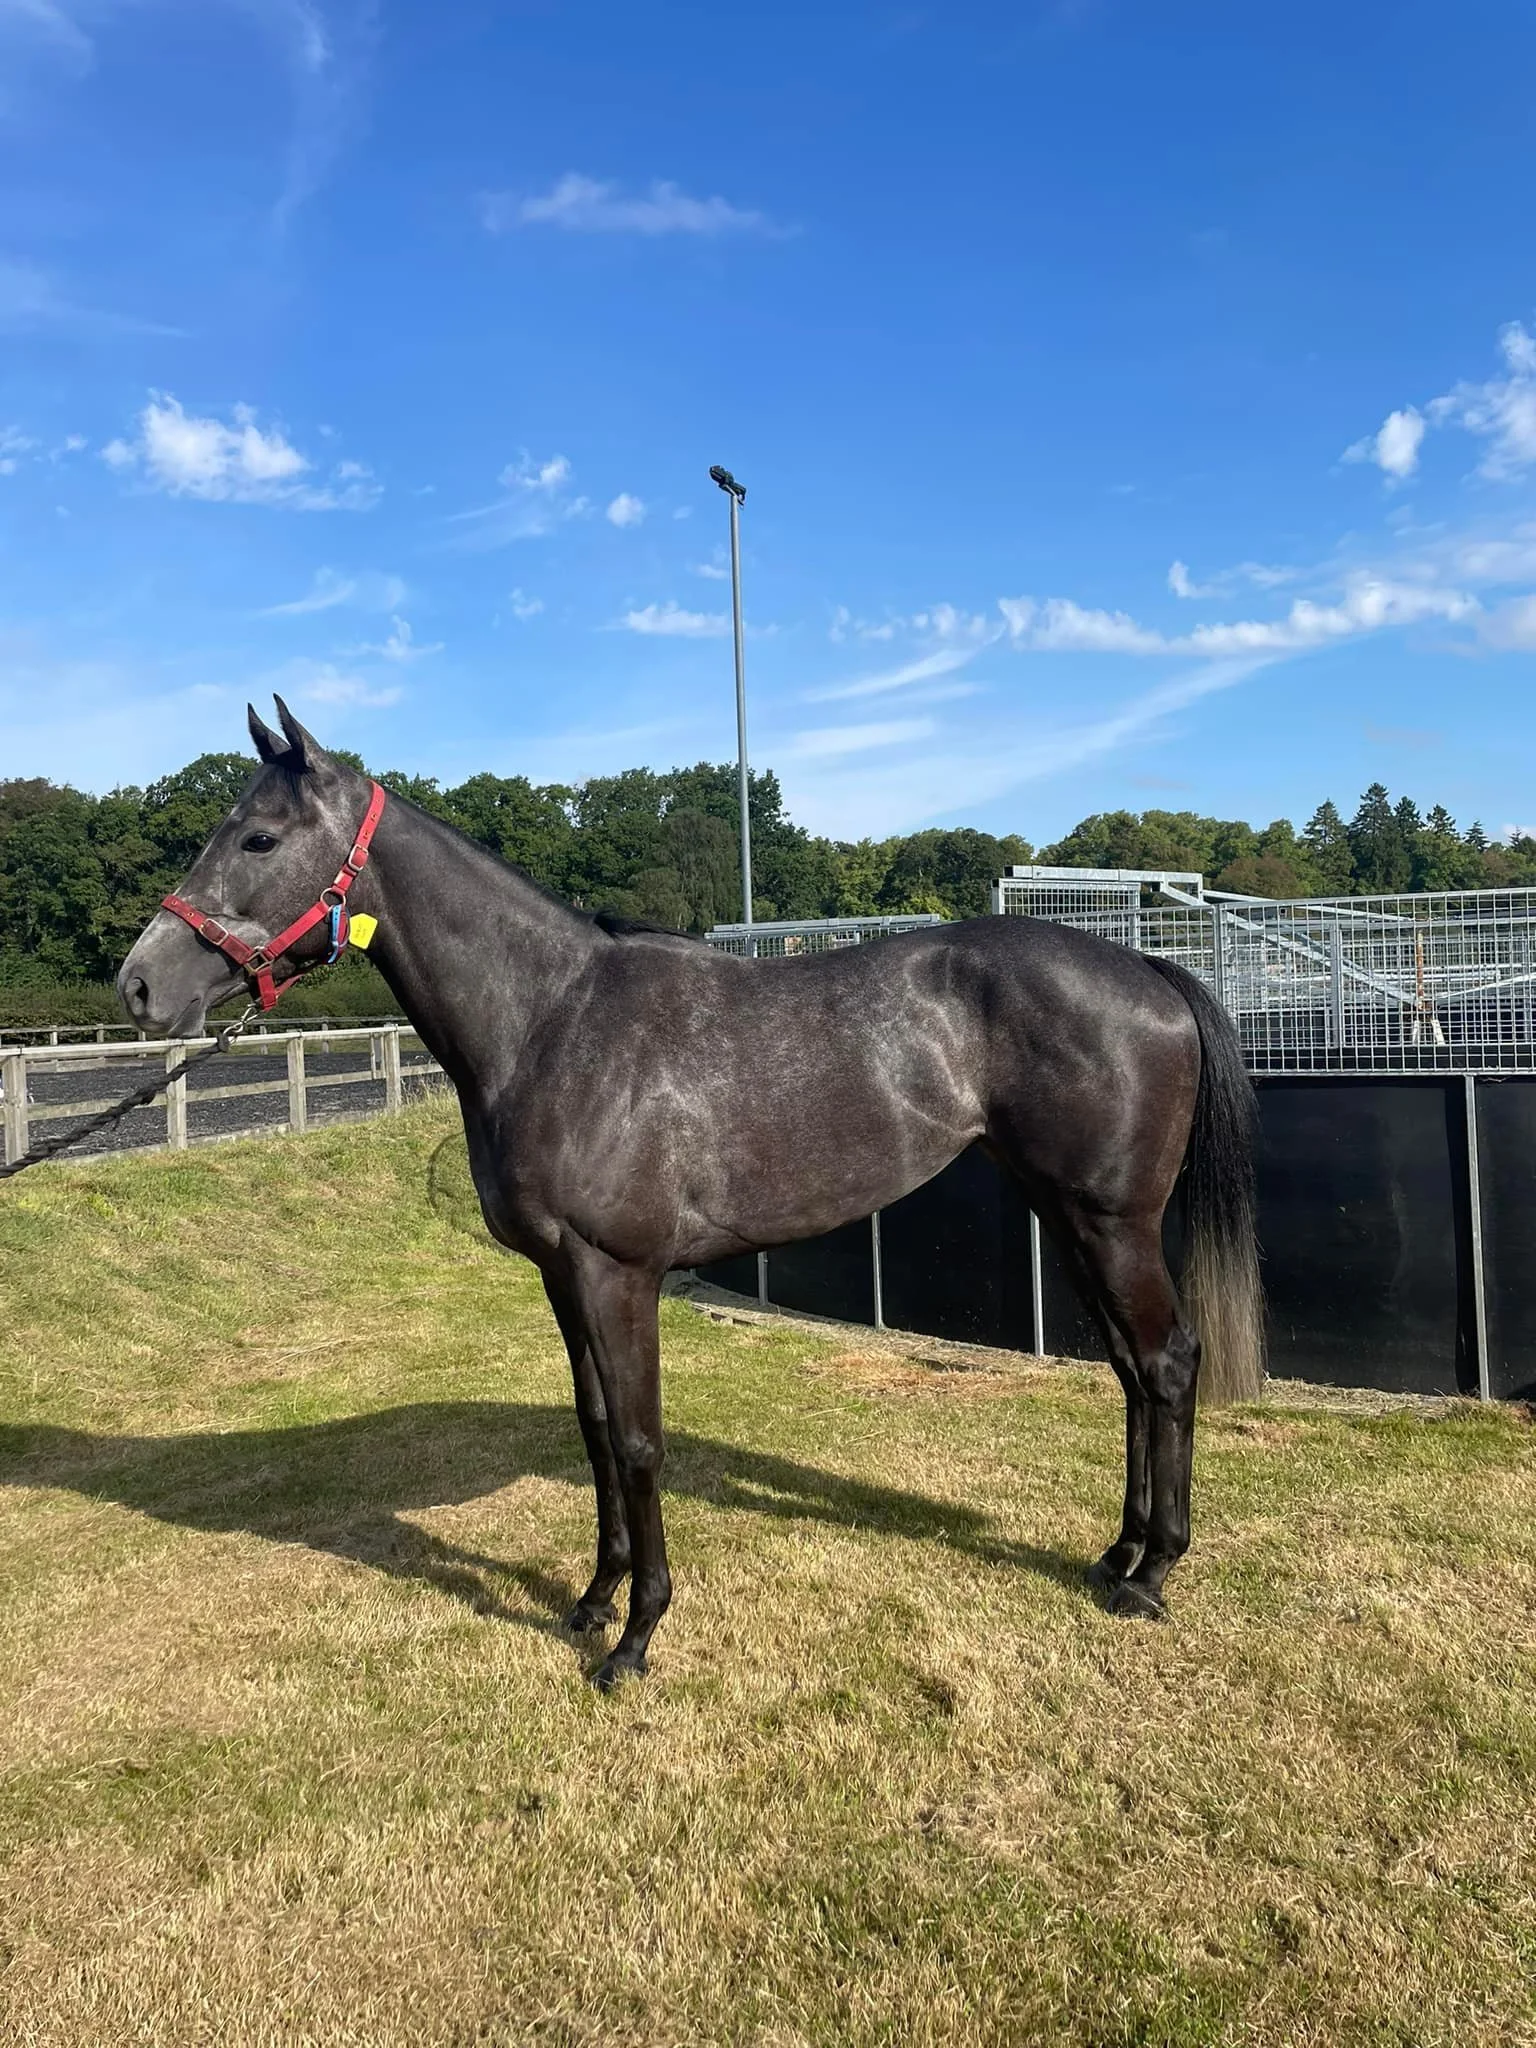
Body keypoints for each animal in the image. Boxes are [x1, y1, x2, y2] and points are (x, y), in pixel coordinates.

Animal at [118, 699, 1263, 1689]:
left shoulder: (620, 1273)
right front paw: (592, 1598)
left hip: (1113, 1221)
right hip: (1067, 1216)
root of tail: (1151, 974)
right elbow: (591, 1427)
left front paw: (636, 1636)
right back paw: (1116, 1555)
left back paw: (1154, 1572)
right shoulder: (562, 1276)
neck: (551, 1022)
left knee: (1168, 1362)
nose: (139, 985)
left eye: (258, 838)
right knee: (1130, 1370)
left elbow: (636, 1440)